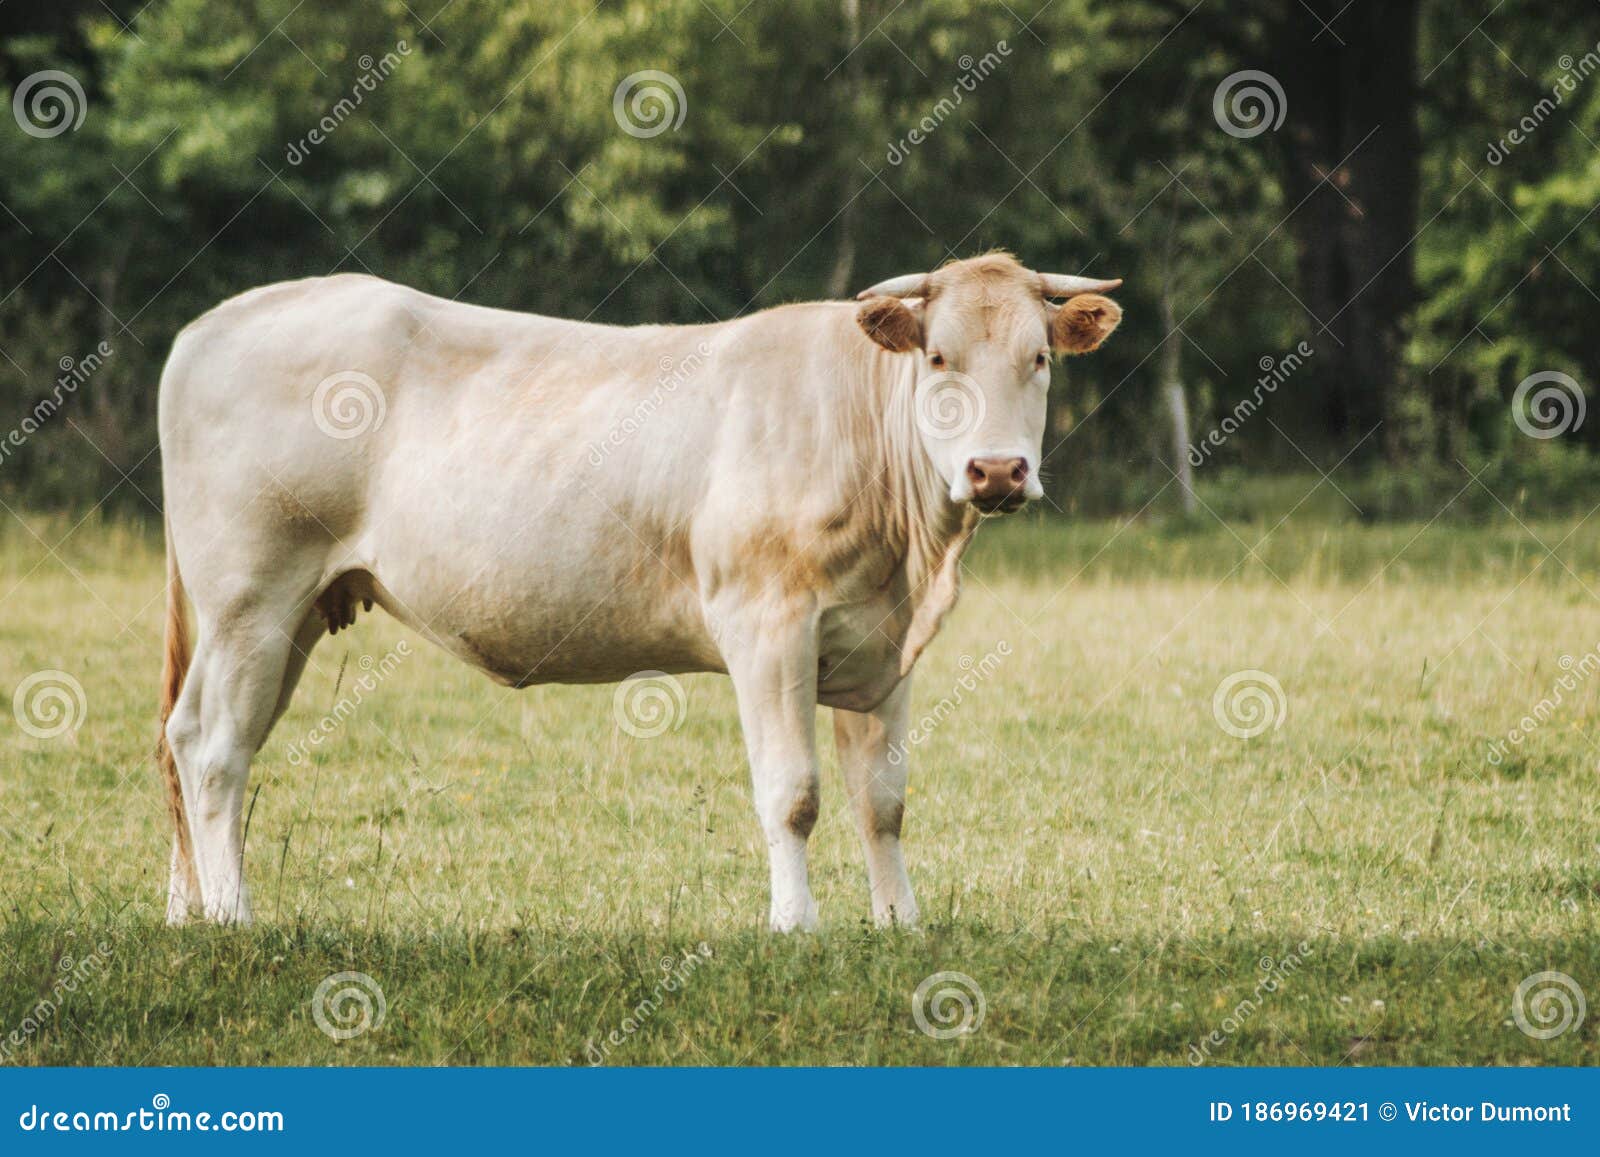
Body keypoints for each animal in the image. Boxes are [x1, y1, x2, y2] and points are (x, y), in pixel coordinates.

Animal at [155, 251, 1121, 931]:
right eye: (939, 356)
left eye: (1038, 358)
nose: (996, 469)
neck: (911, 556)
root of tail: (211, 325)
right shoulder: (766, 622)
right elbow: (793, 791)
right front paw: (795, 924)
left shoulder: (883, 647)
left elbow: (881, 799)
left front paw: (899, 925)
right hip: (249, 598)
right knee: (212, 748)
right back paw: (234, 916)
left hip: (291, 612)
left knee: (196, 739)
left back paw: (190, 912)